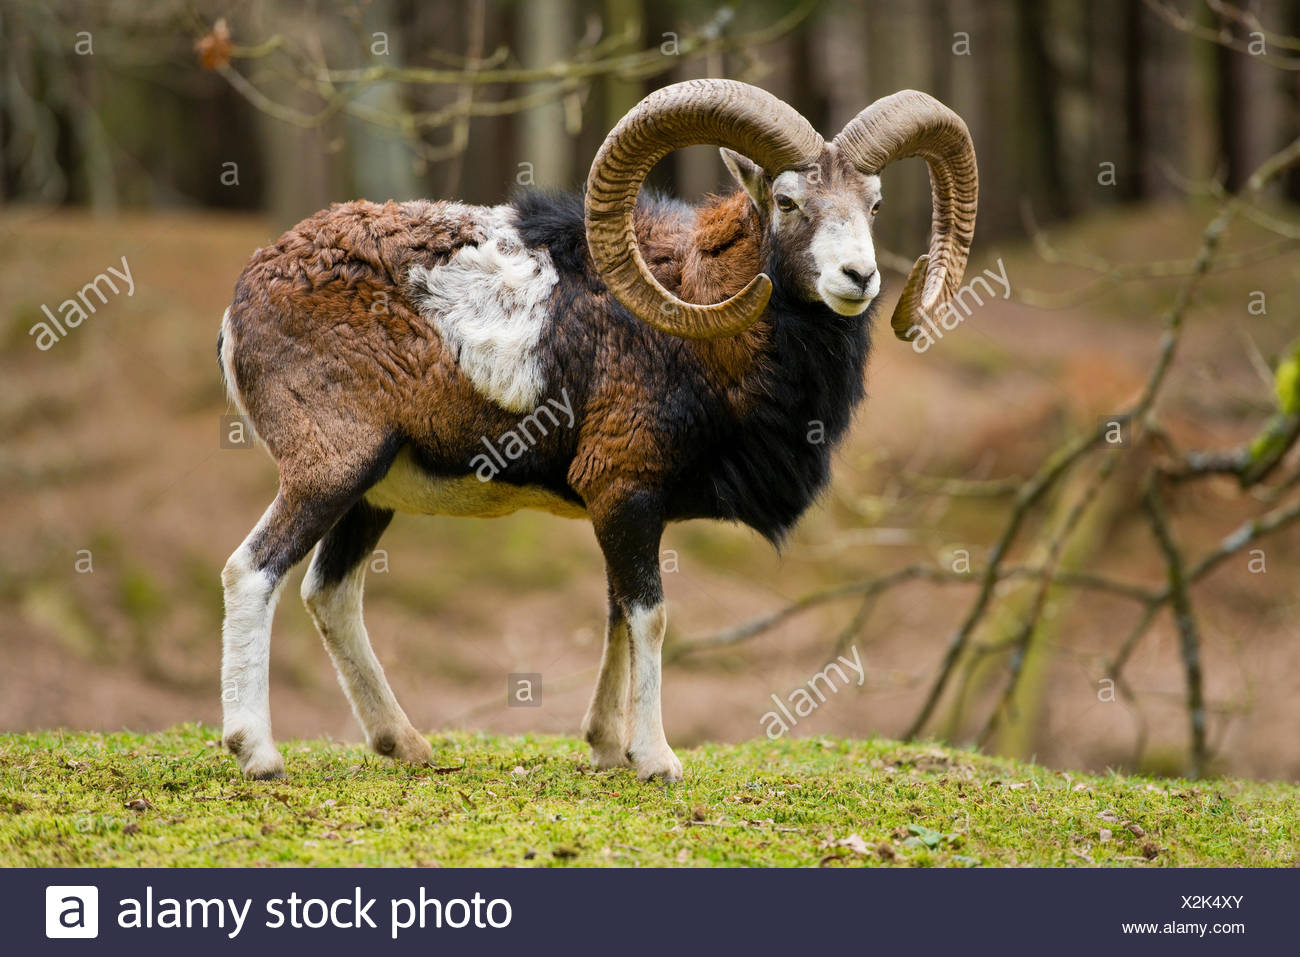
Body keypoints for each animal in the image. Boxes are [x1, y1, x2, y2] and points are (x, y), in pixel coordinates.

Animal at [217, 79, 977, 781]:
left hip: (372, 494)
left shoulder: (628, 509)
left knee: (331, 592)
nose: (859, 277)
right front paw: (656, 759)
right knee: (252, 570)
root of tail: (245, 295)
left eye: (872, 205)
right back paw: (258, 754)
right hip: (331, 471)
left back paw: (406, 745)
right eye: (788, 202)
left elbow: (617, 613)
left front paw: (608, 747)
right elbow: (649, 615)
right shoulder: (625, 492)